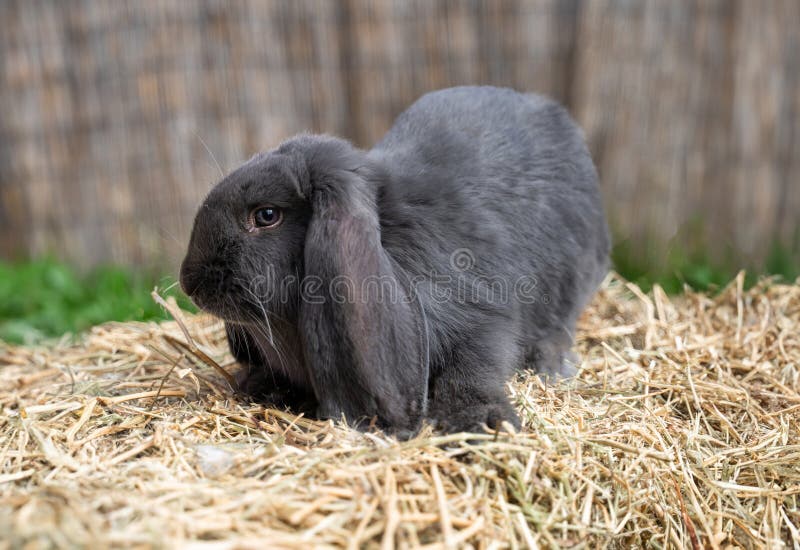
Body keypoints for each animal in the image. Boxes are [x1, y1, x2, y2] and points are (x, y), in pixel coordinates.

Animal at [180, 86, 610, 436]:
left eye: (266, 215)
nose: (189, 282)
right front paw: (260, 386)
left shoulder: (483, 312)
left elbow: (475, 366)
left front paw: (481, 422)